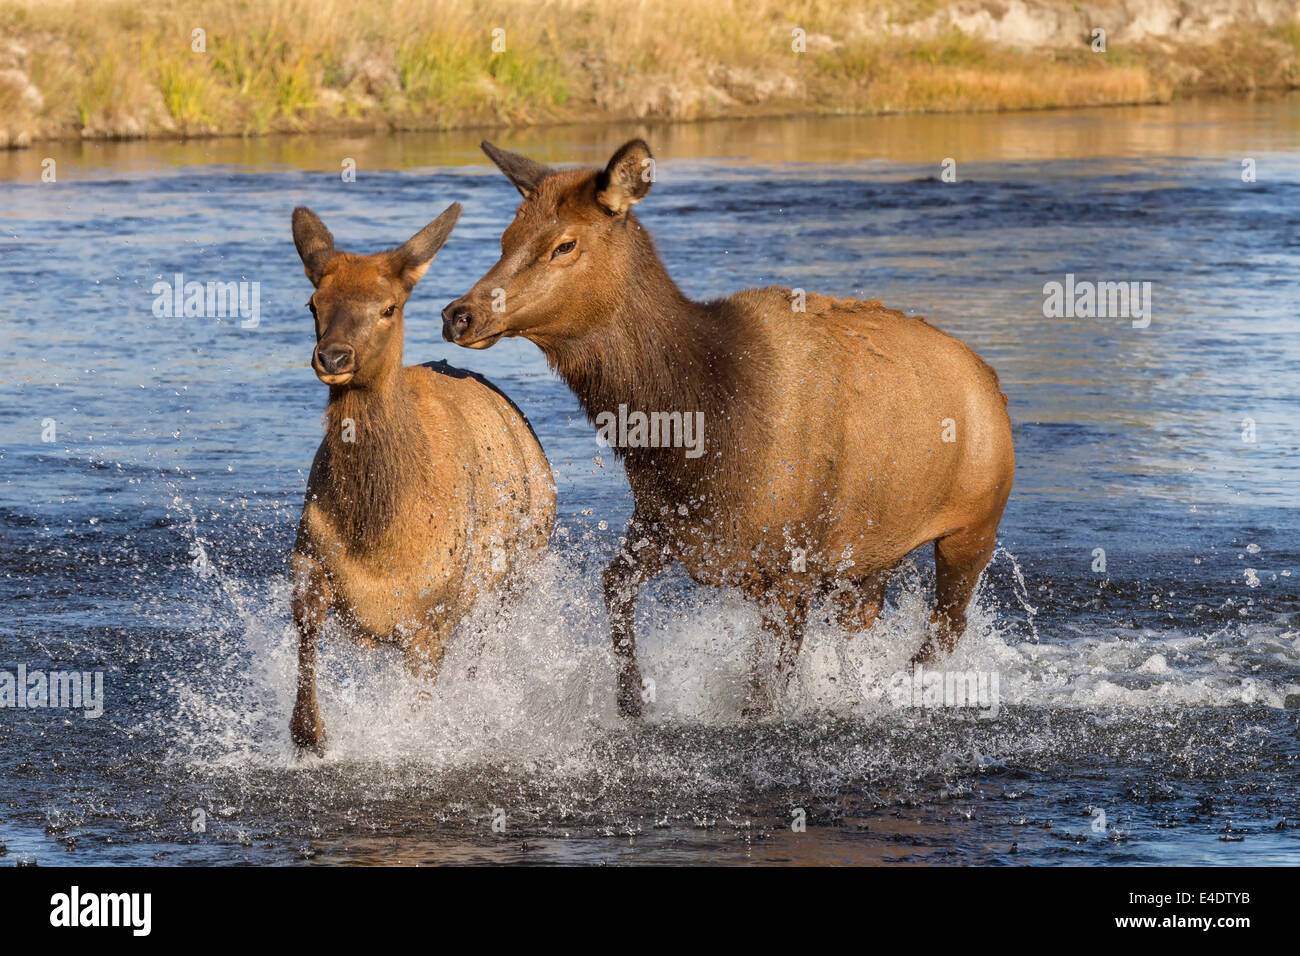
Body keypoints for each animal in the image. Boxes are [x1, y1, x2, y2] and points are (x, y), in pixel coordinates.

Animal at [288, 202, 555, 754]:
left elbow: (421, 704)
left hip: (515, 576)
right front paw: (310, 733)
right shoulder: (307, 554)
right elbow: (305, 619)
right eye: (313, 302)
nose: (334, 356)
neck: (376, 535)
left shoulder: (432, 616)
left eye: (389, 307)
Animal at [440, 140, 1016, 720]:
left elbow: (761, 697)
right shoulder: (666, 526)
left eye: (565, 244)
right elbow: (613, 585)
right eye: (506, 238)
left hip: (974, 525)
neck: (697, 432)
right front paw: (630, 698)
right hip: (871, 551)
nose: (458, 314)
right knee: (866, 620)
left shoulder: (791, 566)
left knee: (945, 630)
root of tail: (989, 379)